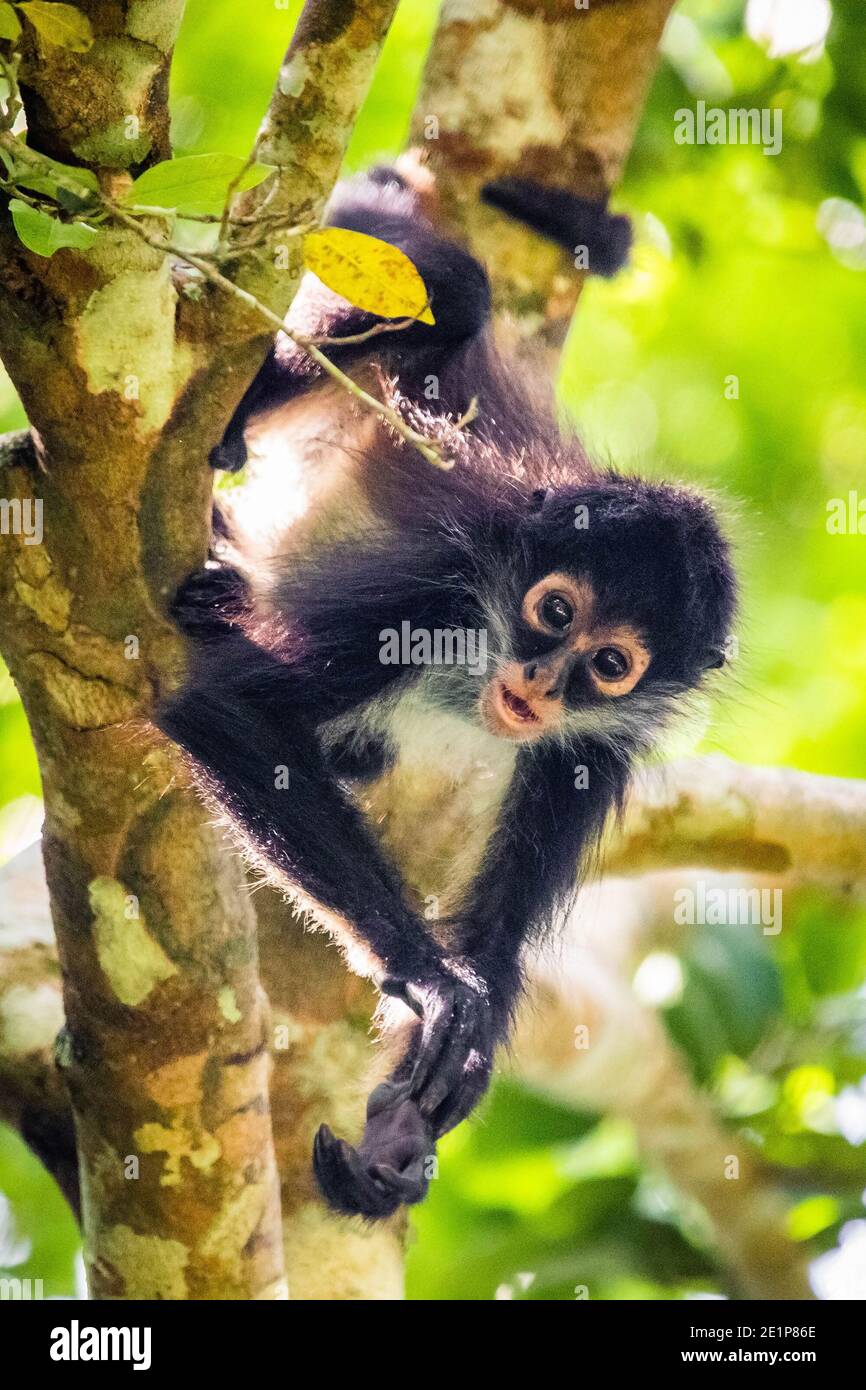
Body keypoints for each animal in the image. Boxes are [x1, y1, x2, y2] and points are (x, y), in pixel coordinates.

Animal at [156, 163, 736, 1221]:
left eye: (609, 665)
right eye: (555, 612)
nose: (539, 683)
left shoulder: (598, 744)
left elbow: (497, 946)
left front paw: (409, 1127)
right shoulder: (437, 592)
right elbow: (222, 705)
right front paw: (427, 979)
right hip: (363, 237)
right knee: (455, 289)